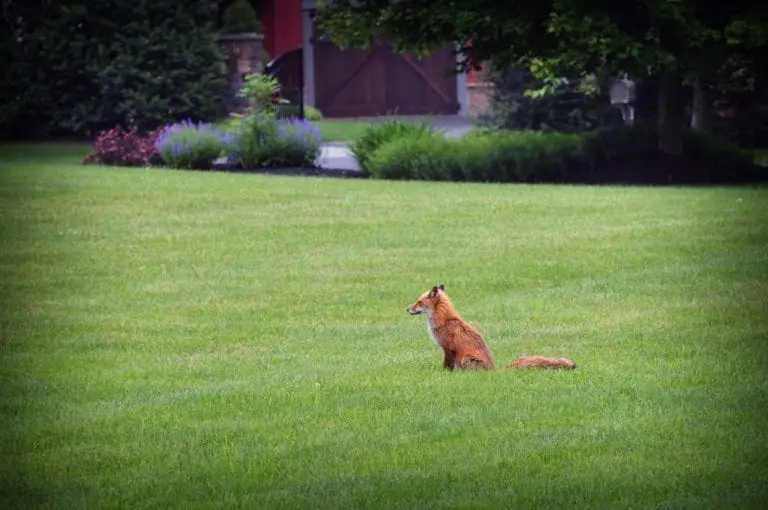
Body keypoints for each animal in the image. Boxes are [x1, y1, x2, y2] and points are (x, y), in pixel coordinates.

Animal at [406, 284, 577, 371]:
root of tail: (493, 370)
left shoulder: (448, 348)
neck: (445, 319)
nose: (406, 309)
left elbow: (447, 365)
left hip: (467, 357)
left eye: (419, 302)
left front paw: (445, 374)